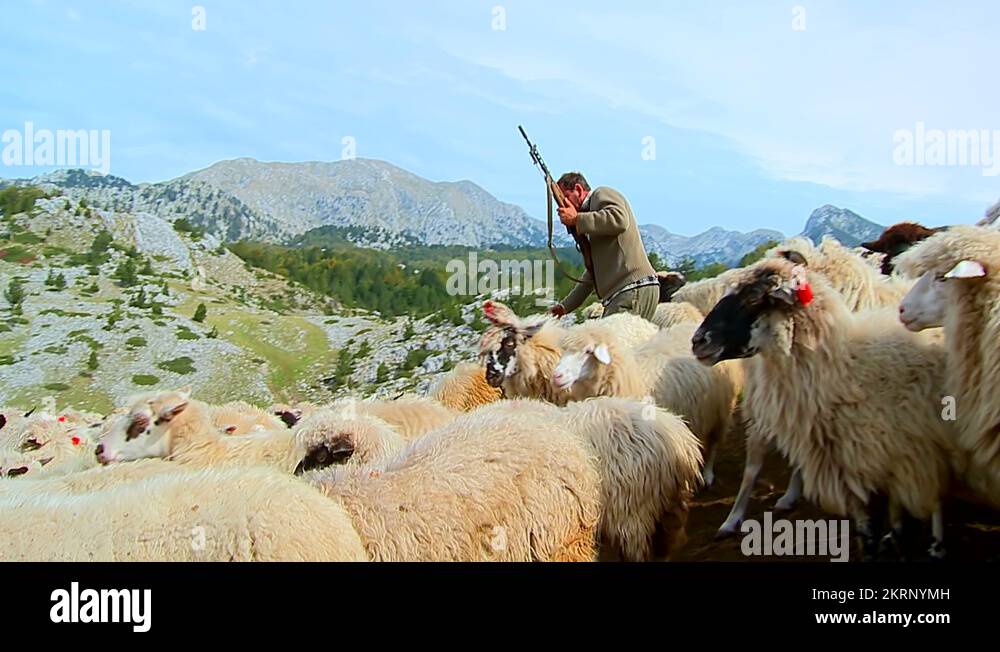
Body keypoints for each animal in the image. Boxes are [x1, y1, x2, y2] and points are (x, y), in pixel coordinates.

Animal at [551, 319, 739, 489]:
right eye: (564, 351)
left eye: (588, 351)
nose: (556, 376)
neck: (632, 374)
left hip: (721, 406)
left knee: (714, 441)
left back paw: (708, 474)